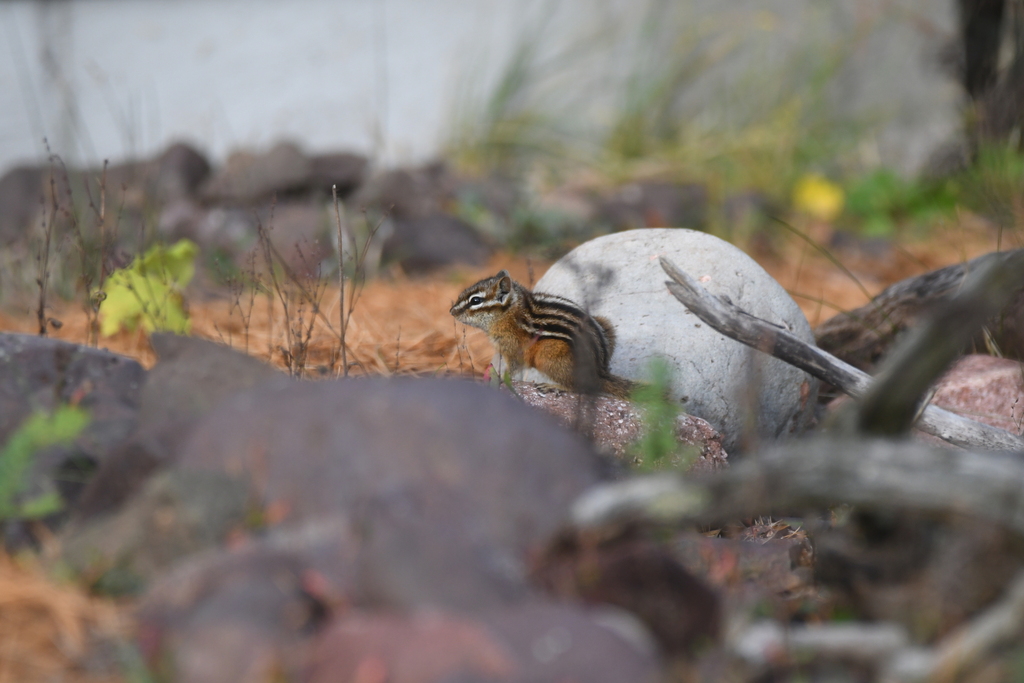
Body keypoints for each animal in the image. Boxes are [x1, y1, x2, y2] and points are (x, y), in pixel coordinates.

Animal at [450, 270, 637, 398]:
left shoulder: (514, 348)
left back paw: (555, 386)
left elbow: (513, 368)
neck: (509, 313)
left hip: (549, 356)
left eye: (475, 300)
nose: (451, 311)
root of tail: (599, 372)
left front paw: (500, 379)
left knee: (583, 388)